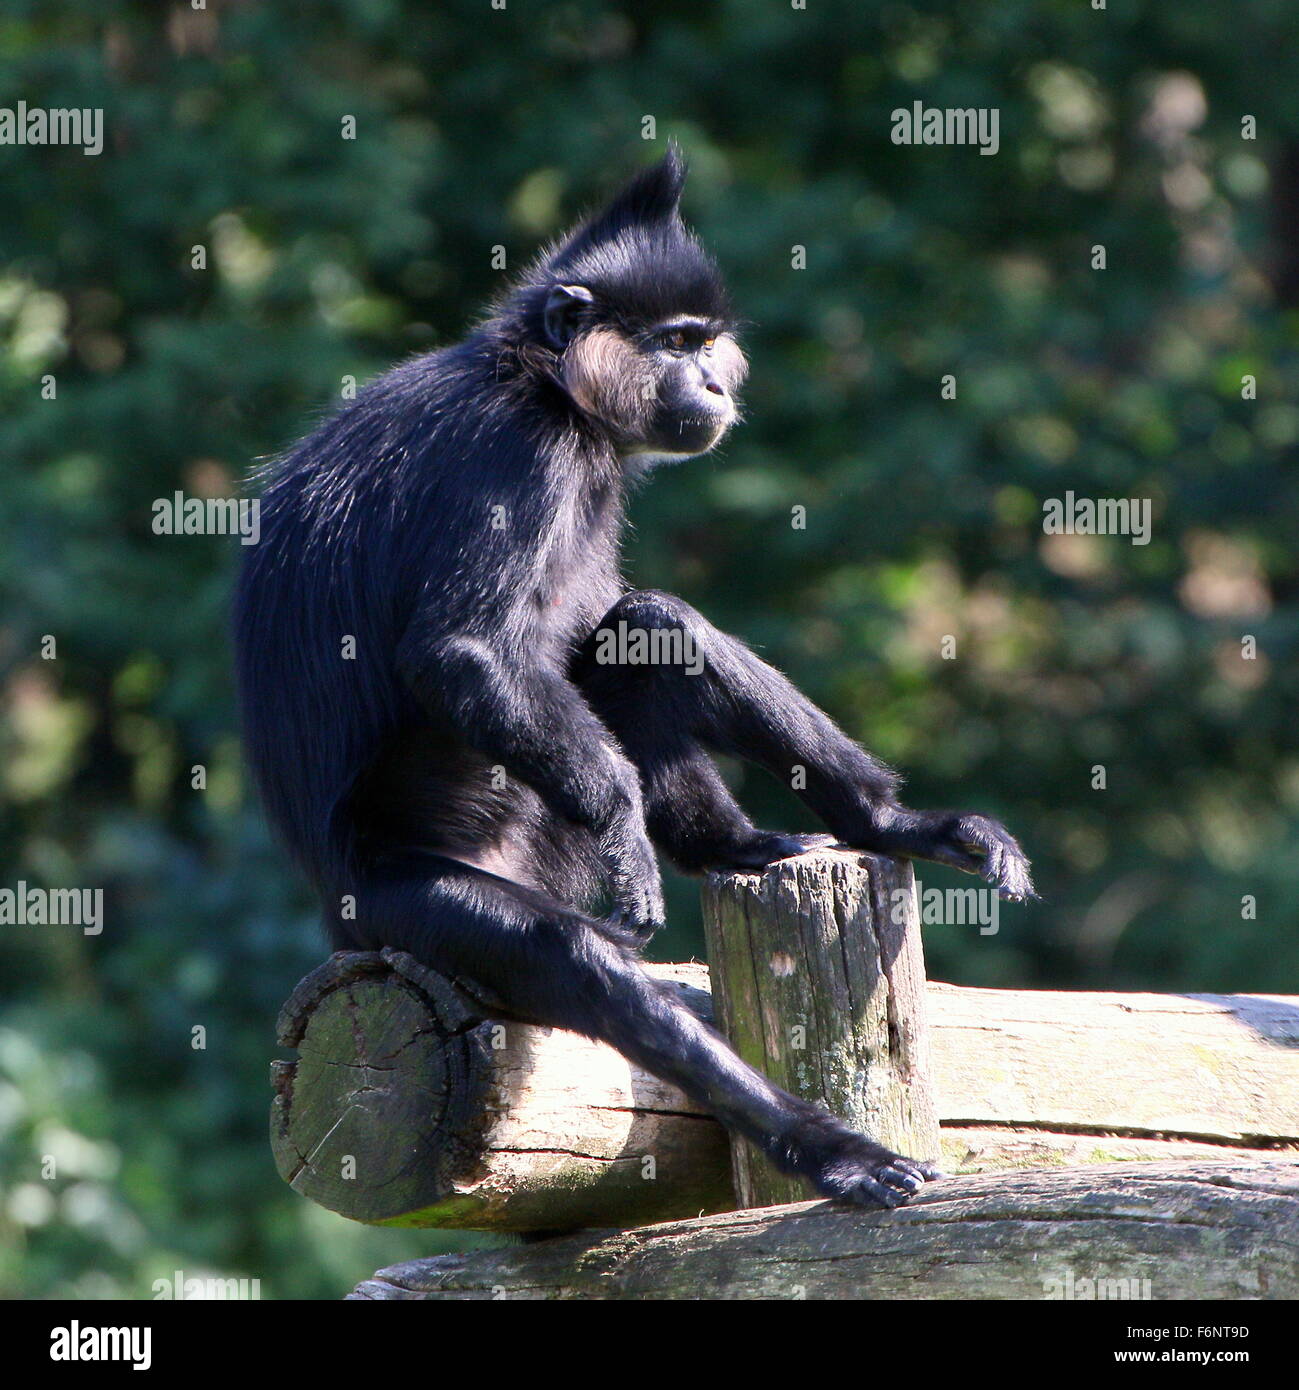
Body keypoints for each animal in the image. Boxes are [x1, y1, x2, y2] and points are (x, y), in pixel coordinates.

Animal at [234, 145, 1034, 1209]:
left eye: (706, 343)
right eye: (674, 343)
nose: (713, 385)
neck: (540, 381)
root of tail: (333, 905)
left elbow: (622, 636)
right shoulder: (515, 451)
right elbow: (459, 653)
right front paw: (623, 823)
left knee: (650, 626)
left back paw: (820, 834)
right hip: (410, 891)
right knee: (573, 953)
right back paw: (822, 1147)